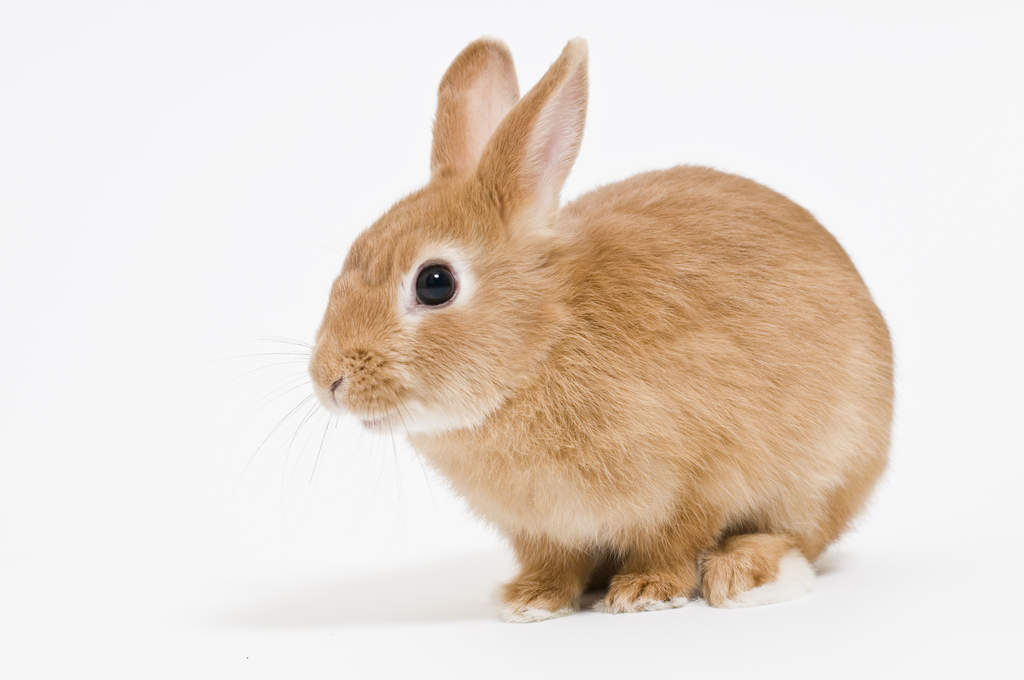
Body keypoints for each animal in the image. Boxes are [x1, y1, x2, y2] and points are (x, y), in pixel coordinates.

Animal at [308, 37, 892, 622]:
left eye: (435, 283)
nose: (328, 382)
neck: (545, 344)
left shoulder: (701, 479)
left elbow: (675, 541)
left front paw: (646, 592)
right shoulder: (542, 530)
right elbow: (555, 563)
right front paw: (532, 602)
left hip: (826, 472)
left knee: (799, 537)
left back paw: (746, 575)